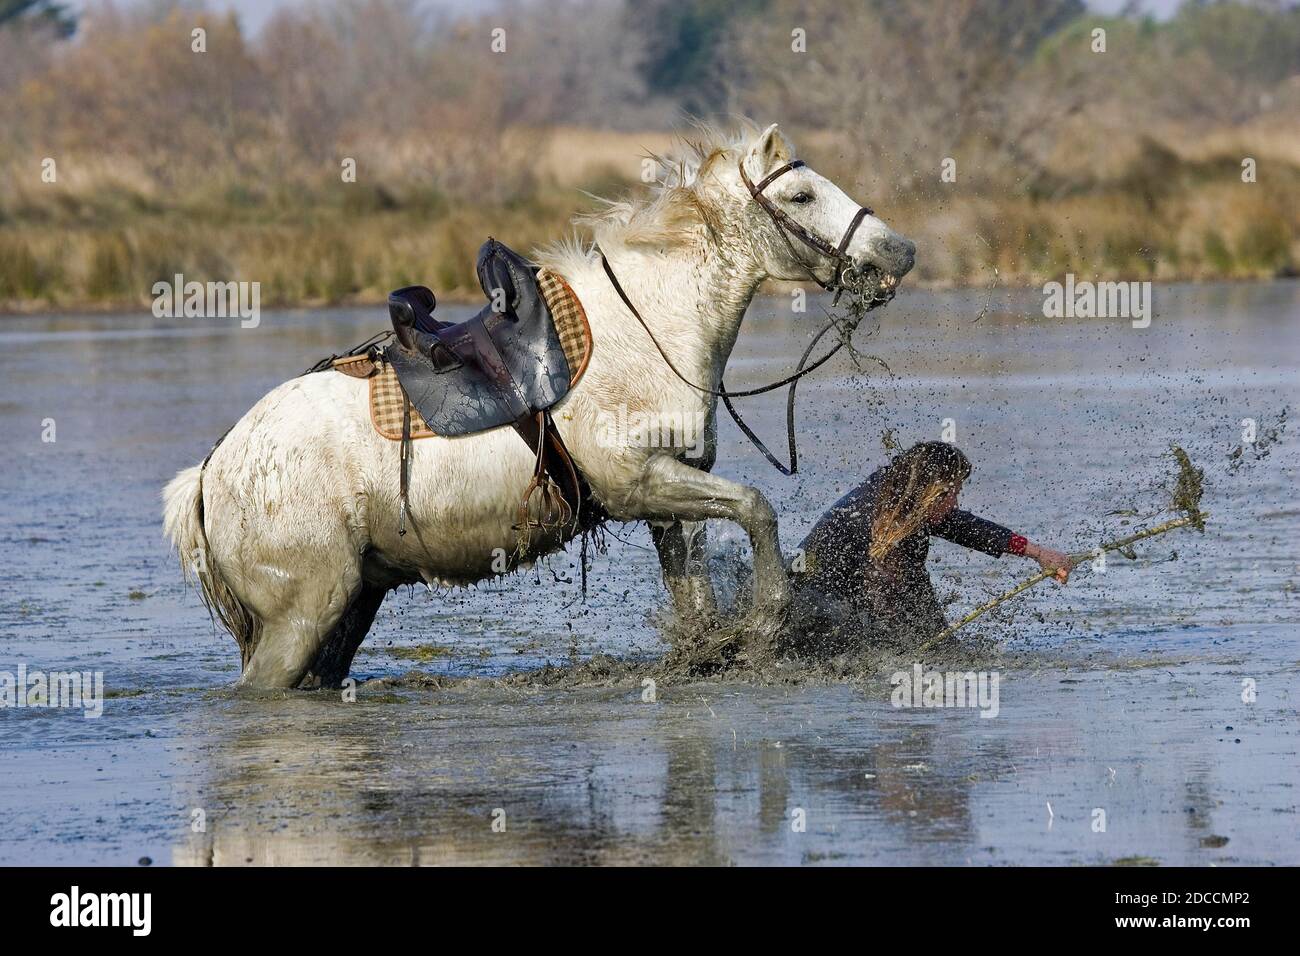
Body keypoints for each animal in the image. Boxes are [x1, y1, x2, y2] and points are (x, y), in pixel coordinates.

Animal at [162, 123, 916, 689]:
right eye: (801, 194)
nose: (900, 251)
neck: (646, 326)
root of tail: (210, 473)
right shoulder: (638, 484)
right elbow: (758, 507)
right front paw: (766, 625)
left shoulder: (669, 496)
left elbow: (698, 594)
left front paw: (716, 648)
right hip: (302, 617)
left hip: (349, 607)